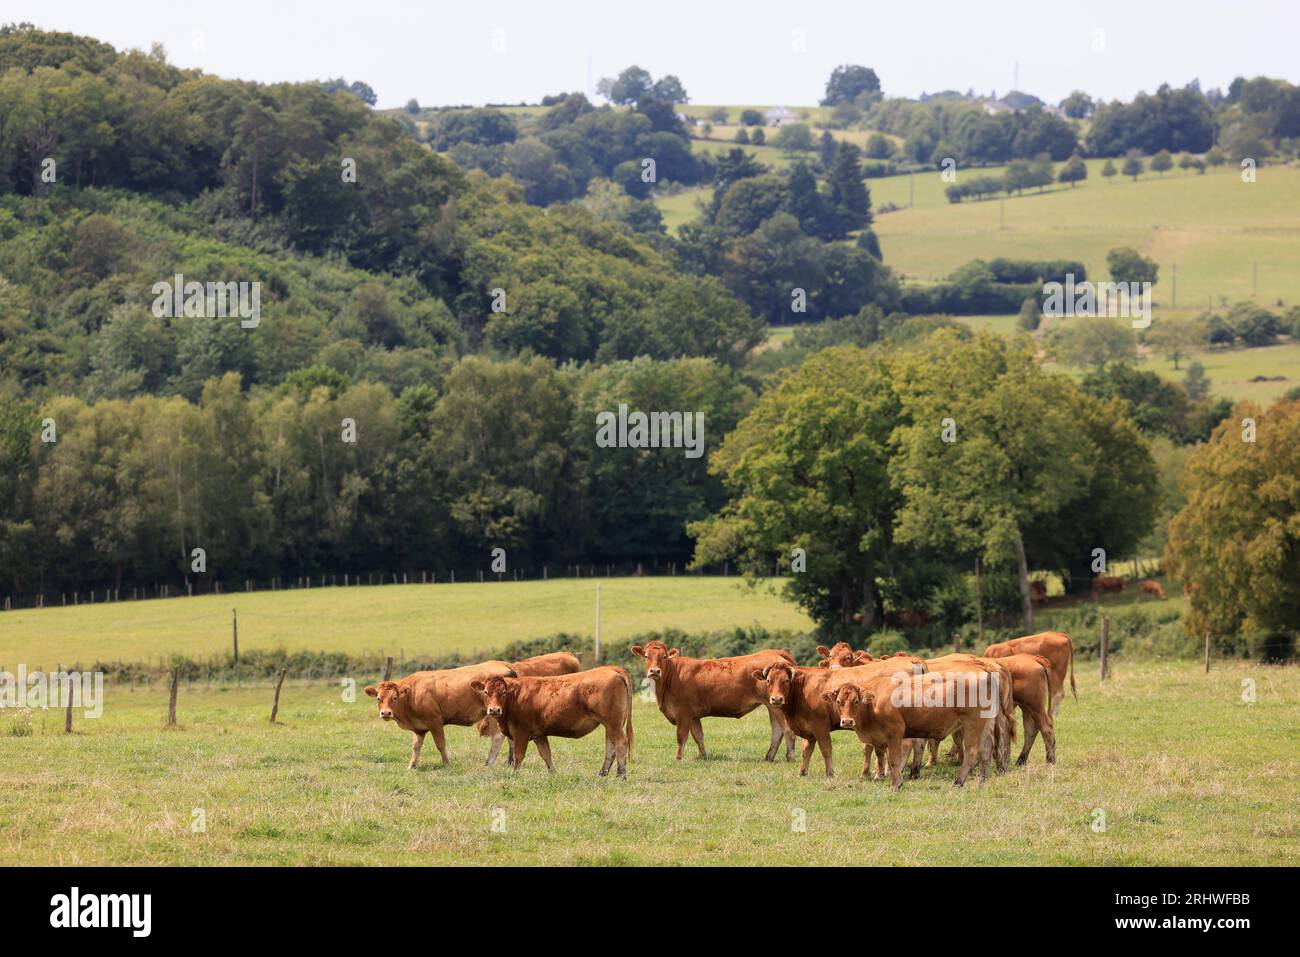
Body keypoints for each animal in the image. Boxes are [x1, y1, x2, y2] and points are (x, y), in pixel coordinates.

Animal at [365, 660, 517, 769]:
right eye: (379, 698)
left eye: (394, 698)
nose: (385, 712)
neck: (412, 693)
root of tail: (502, 664)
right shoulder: (419, 728)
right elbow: (416, 746)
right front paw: (412, 766)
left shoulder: (435, 722)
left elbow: (440, 744)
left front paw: (447, 763)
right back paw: (511, 761)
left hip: (494, 712)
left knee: (498, 737)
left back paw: (489, 763)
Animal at [470, 666, 634, 777]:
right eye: (486, 692)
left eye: (503, 693)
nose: (494, 710)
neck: (515, 697)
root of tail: (612, 669)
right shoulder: (539, 734)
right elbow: (546, 755)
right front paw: (553, 774)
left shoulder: (521, 732)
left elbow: (518, 757)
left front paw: (514, 775)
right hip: (611, 725)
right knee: (611, 748)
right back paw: (602, 774)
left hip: (613, 724)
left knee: (621, 744)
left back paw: (621, 775)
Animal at [630, 640, 797, 761]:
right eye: (646, 656)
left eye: (664, 657)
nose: (654, 671)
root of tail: (773, 652)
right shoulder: (694, 716)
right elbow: (698, 737)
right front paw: (703, 757)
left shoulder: (683, 713)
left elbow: (681, 736)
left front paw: (678, 758)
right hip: (772, 705)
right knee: (777, 731)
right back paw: (768, 757)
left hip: (776, 704)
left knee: (788, 731)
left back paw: (790, 758)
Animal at [825, 669, 999, 791]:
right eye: (838, 701)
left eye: (856, 700)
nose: (847, 721)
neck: (874, 702)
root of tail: (986, 675)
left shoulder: (895, 733)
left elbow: (894, 760)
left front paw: (895, 785)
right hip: (985, 724)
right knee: (985, 750)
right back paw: (982, 780)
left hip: (972, 724)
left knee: (971, 752)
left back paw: (958, 782)